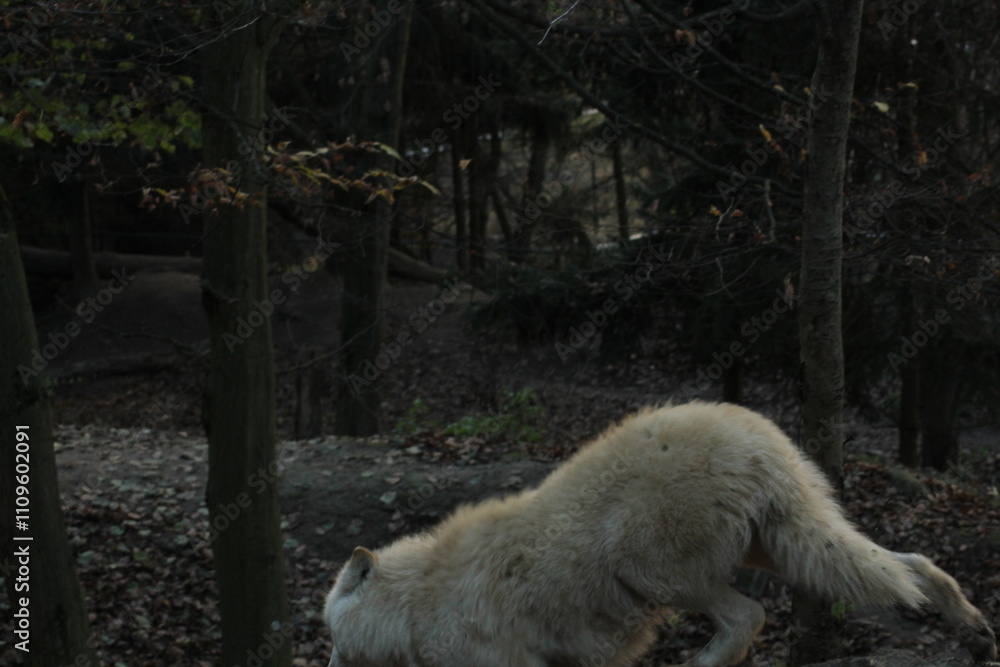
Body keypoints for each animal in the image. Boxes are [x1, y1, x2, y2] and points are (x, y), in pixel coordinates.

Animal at [323, 401, 997, 666]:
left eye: (329, 634)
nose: (326, 665)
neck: (416, 604)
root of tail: (758, 440)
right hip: (789, 547)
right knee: (908, 565)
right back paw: (973, 629)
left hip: (652, 571)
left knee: (748, 616)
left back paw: (701, 664)